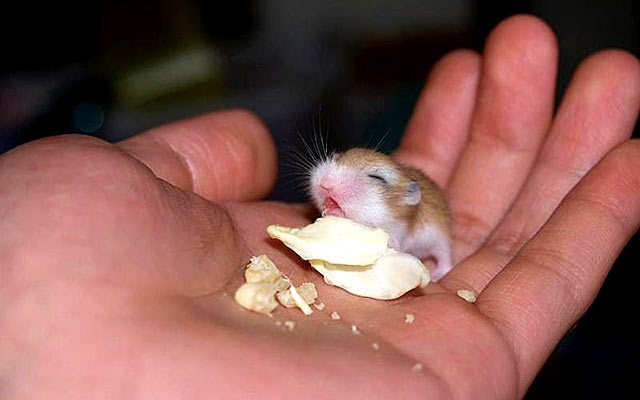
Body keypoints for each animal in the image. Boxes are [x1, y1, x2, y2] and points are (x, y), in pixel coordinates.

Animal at [309, 148, 453, 281]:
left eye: (376, 177)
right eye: (336, 157)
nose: (325, 183)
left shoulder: (394, 239)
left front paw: (333, 211)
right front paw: (325, 210)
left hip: (440, 240)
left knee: (445, 259)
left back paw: (436, 275)